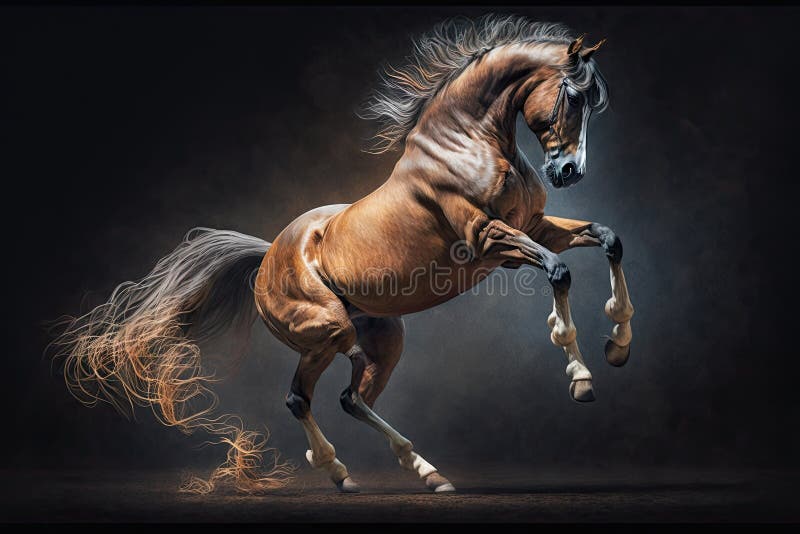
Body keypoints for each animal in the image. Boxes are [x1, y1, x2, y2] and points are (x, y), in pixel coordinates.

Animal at [50, 14, 634, 495]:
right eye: (573, 97)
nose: (569, 172)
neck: (472, 144)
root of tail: (266, 256)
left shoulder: (533, 228)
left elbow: (609, 239)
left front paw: (618, 346)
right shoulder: (491, 240)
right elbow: (558, 273)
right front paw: (580, 377)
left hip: (383, 337)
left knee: (351, 399)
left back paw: (424, 473)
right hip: (328, 332)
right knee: (302, 398)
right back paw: (340, 470)